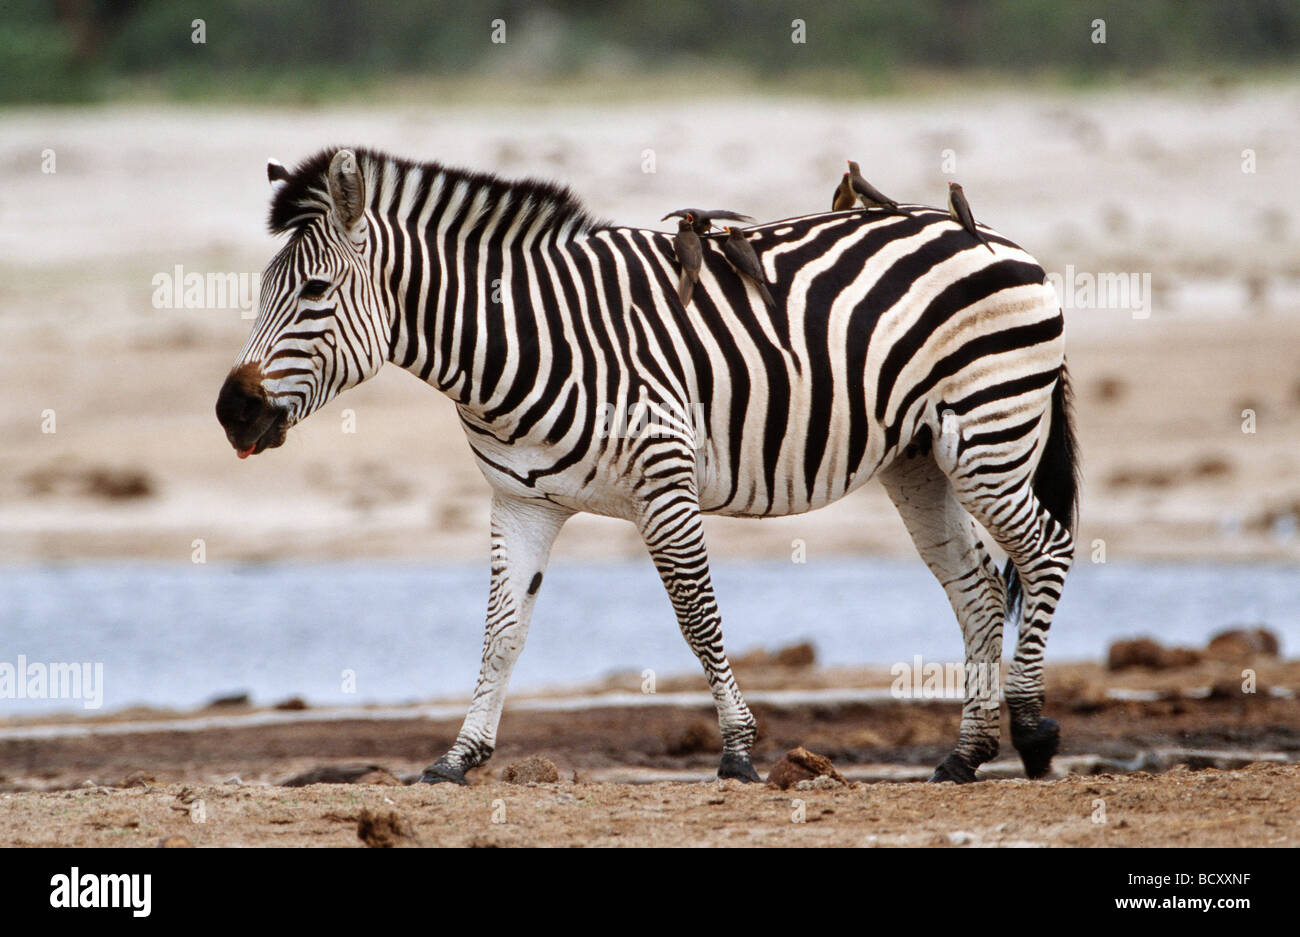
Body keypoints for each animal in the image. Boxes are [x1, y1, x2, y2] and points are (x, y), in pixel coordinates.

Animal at [216, 147, 1078, 785]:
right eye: (262, 287)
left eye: (315, 290)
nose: (231, 411)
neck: (519, 343)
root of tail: (994, 236)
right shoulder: (521, 500)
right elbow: (501, 631)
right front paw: (460, 756)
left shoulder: (665, 485)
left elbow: (697, 617)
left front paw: (738, 751)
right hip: (919, 457)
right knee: (976, 586)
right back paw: (966, 754)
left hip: (989, 435)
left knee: (1045, 550)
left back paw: (1032, 729)